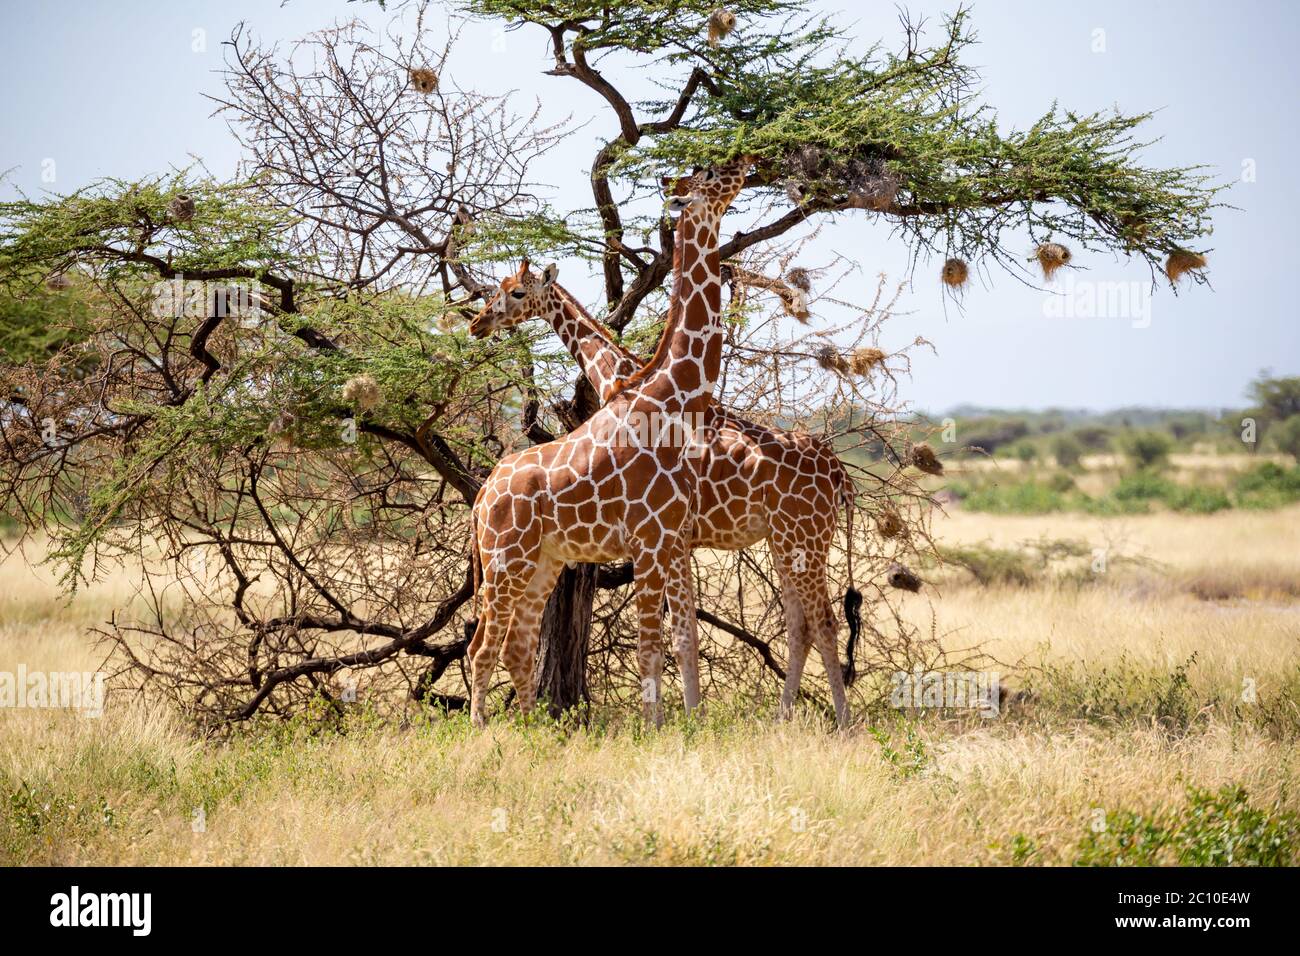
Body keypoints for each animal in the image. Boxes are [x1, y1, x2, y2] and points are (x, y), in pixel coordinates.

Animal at [466, 156, 754, 727]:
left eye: (514, 291)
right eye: (713, 176)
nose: (748, 161)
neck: (672, 397)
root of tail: (483, 496)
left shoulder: (670, 540)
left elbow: (679, 640)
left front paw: (683, 725)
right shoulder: (650, 541)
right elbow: (652, 647)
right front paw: (658, 730)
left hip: (539, 563)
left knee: (512, 645)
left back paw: (528, 728)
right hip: (507, 561)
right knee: (483, 647)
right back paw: (484, 731)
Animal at [469, 264, 856, 727]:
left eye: (516, 292)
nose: (478, 322)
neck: (621, 378)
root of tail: (838, 470)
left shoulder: (671, 537)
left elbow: (680, 634)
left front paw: (685, 717)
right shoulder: (680, 541)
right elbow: (685, 635)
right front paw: (693, 717)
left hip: (806, 537)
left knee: (825, 622)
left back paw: (842, 722)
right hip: (786, 541)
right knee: (801, 626)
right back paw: (784, 717)